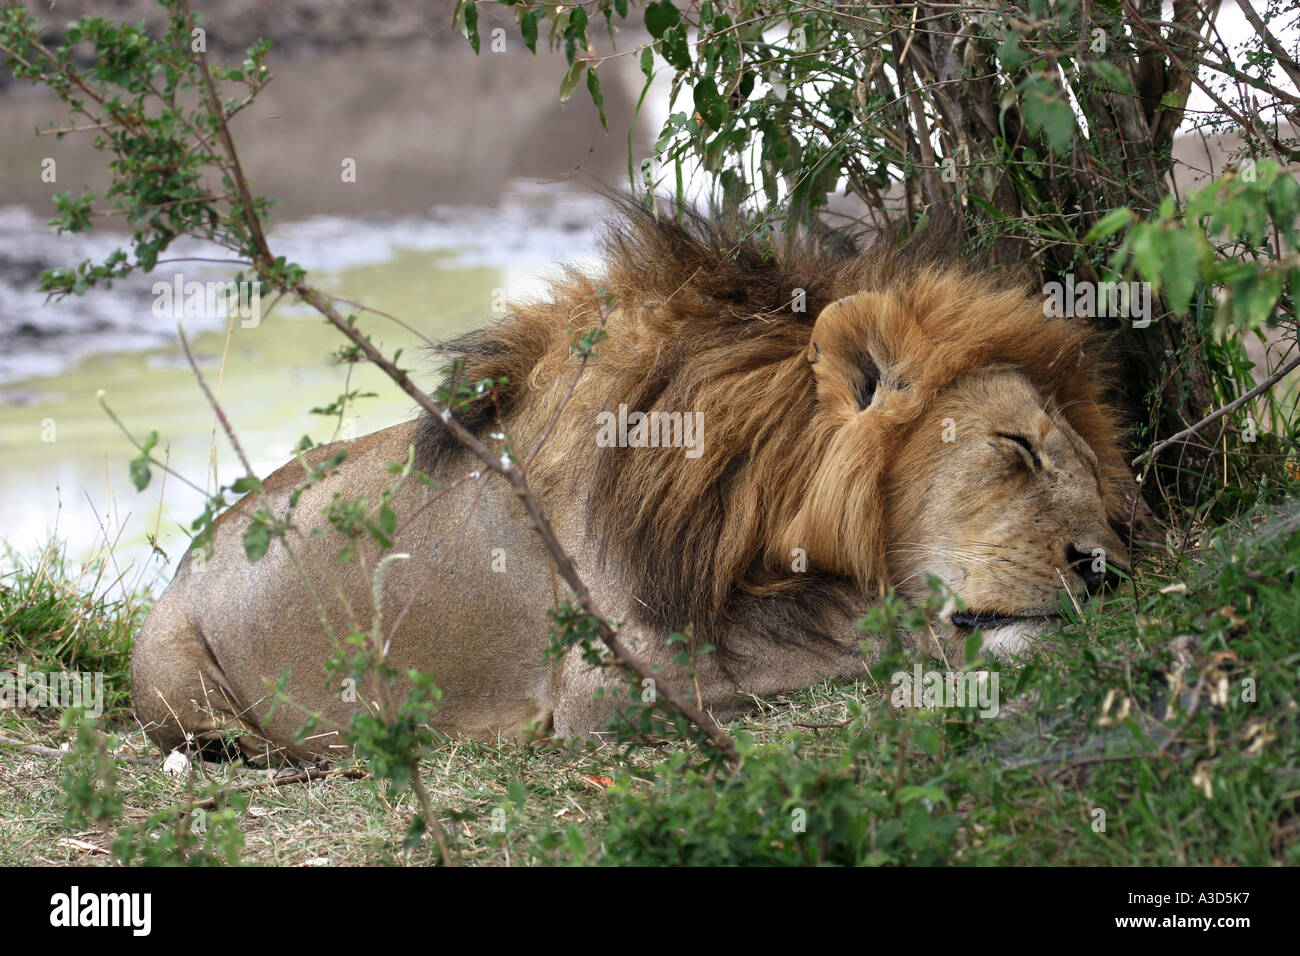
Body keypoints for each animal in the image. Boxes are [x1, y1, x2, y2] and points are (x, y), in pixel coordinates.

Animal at [131, 199, 1132, 762]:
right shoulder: (613, 670)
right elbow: (865, 624)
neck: (753, 474)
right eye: (1017, 447)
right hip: (170, 673)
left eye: (1088, 468)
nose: (1108, 570)